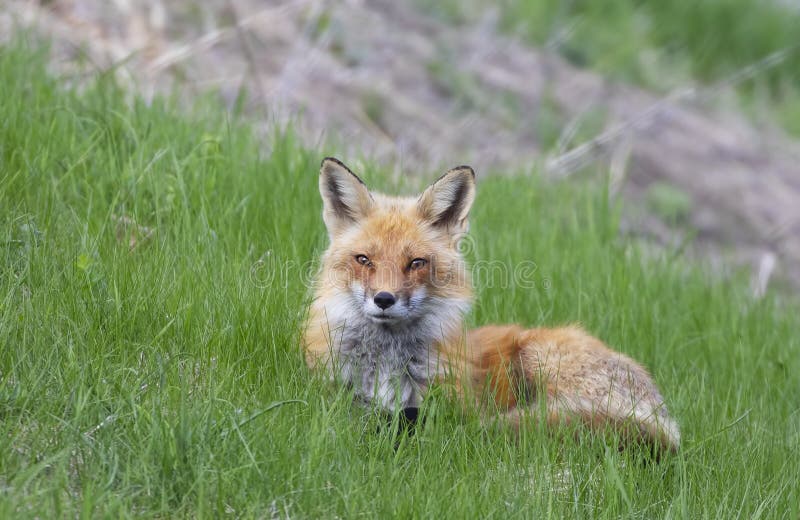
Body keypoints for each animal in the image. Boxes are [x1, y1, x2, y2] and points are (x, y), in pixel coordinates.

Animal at [303, 157, 680, 453]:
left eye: (416, 263)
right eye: (364, 260)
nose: (383, 299)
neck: (385, 360)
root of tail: (667, 423)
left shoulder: (447, 402)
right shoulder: (329, 390)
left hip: (539, 354)